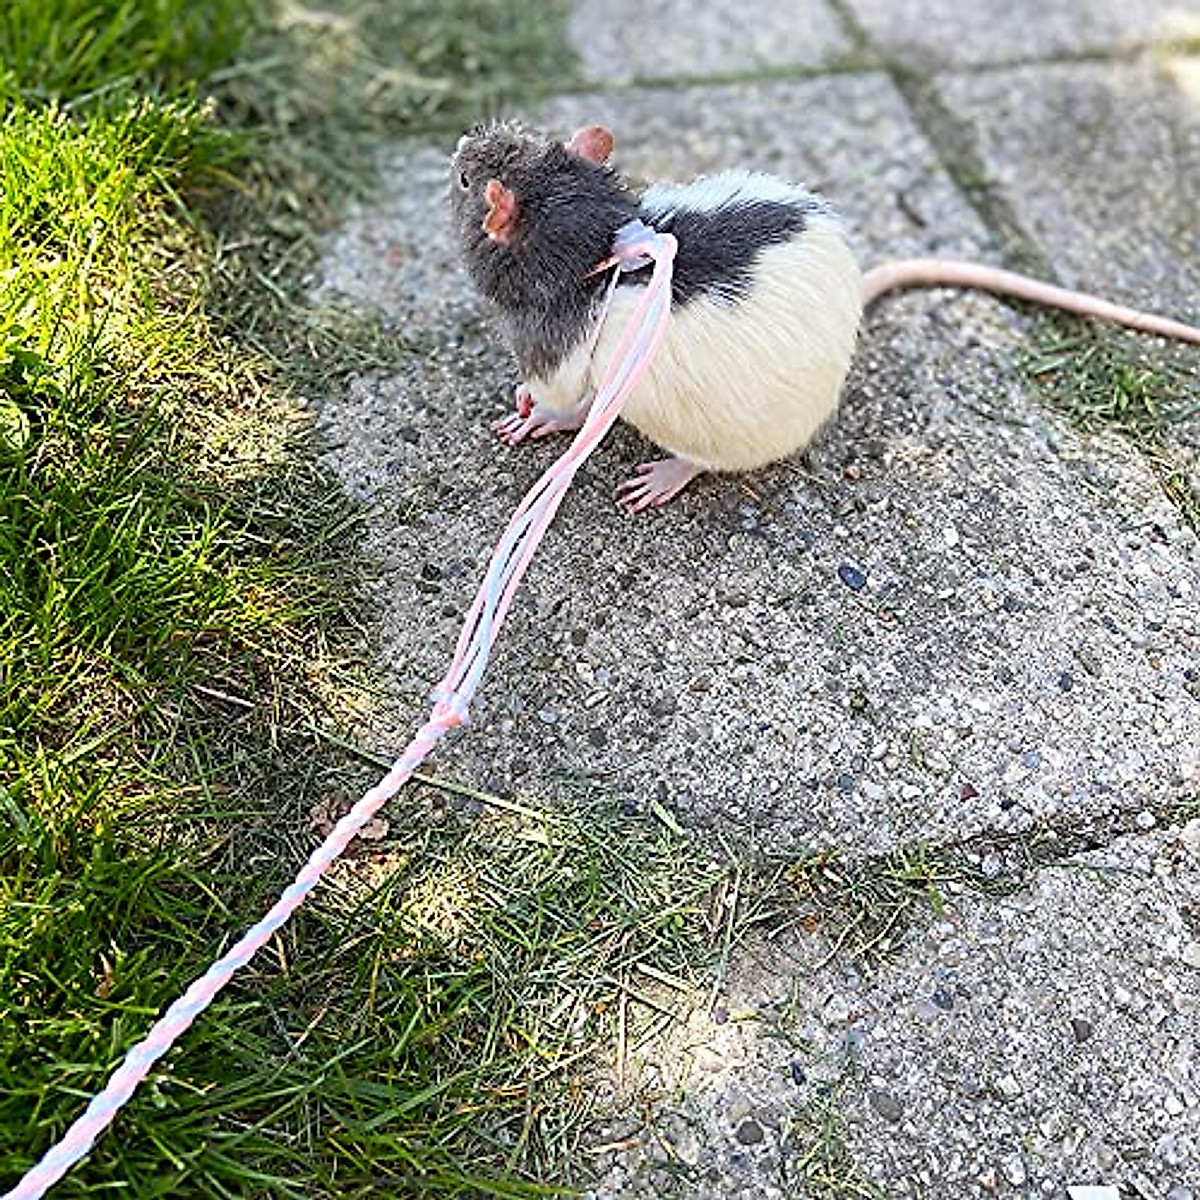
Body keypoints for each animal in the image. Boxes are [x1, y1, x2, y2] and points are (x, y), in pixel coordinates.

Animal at [449, 121, 1199, 511]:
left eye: (464, 180)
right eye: (517, 139)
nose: (461, 140)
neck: (599, 237)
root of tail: (851, 298)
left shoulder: (555, 351)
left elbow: (563, 398)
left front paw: (536, 415)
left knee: (697, 457)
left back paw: (666, 475)